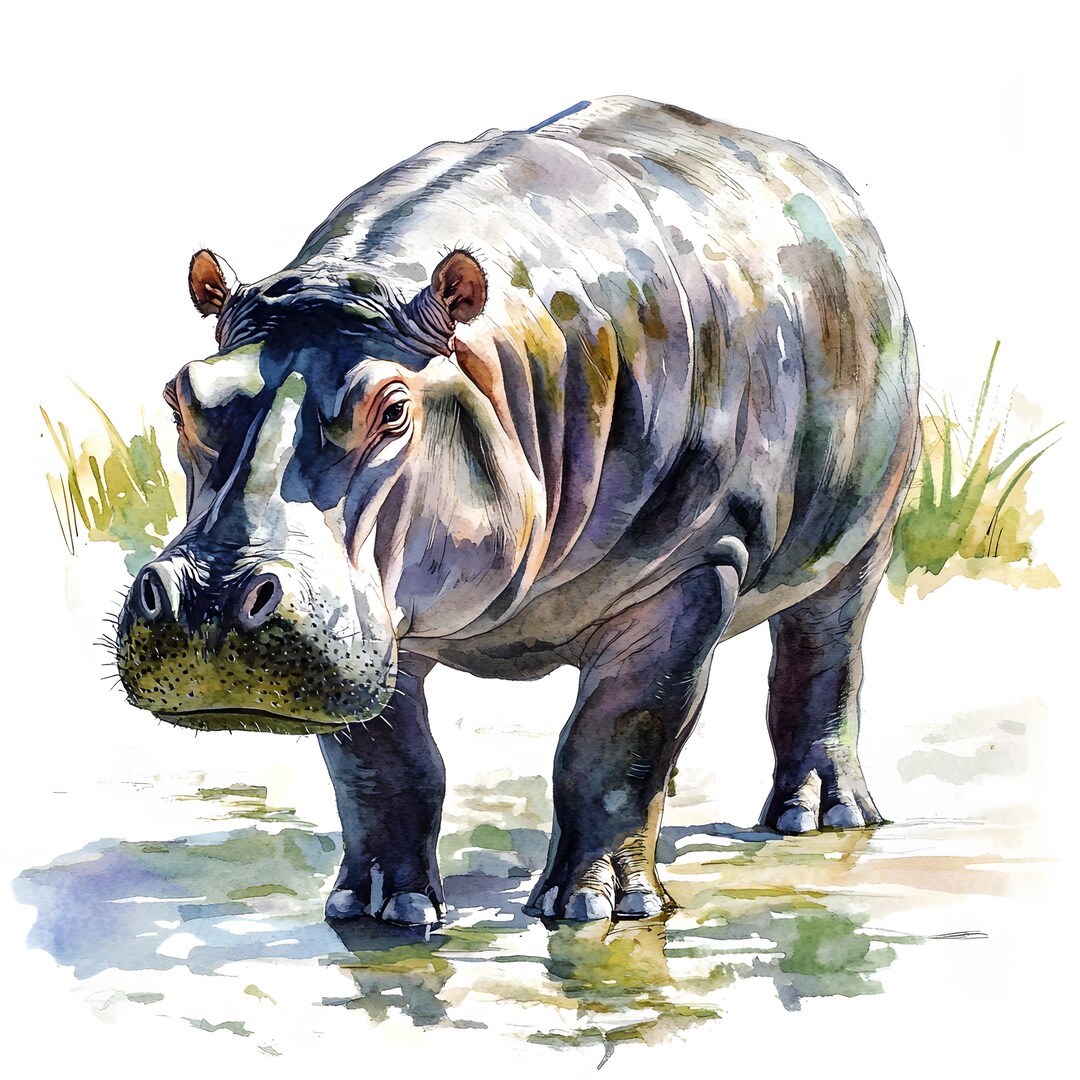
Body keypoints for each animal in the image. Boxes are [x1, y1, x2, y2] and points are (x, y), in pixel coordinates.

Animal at [115, 97, 919, 927]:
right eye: (182, 395)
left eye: (394, 409)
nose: (210, 601)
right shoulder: (378, 623)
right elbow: (386, 764)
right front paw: (379, 909)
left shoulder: (695, 565)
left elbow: (614, 736)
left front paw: (601, 908)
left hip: (865, 536)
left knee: (822, 655)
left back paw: (819, 816)